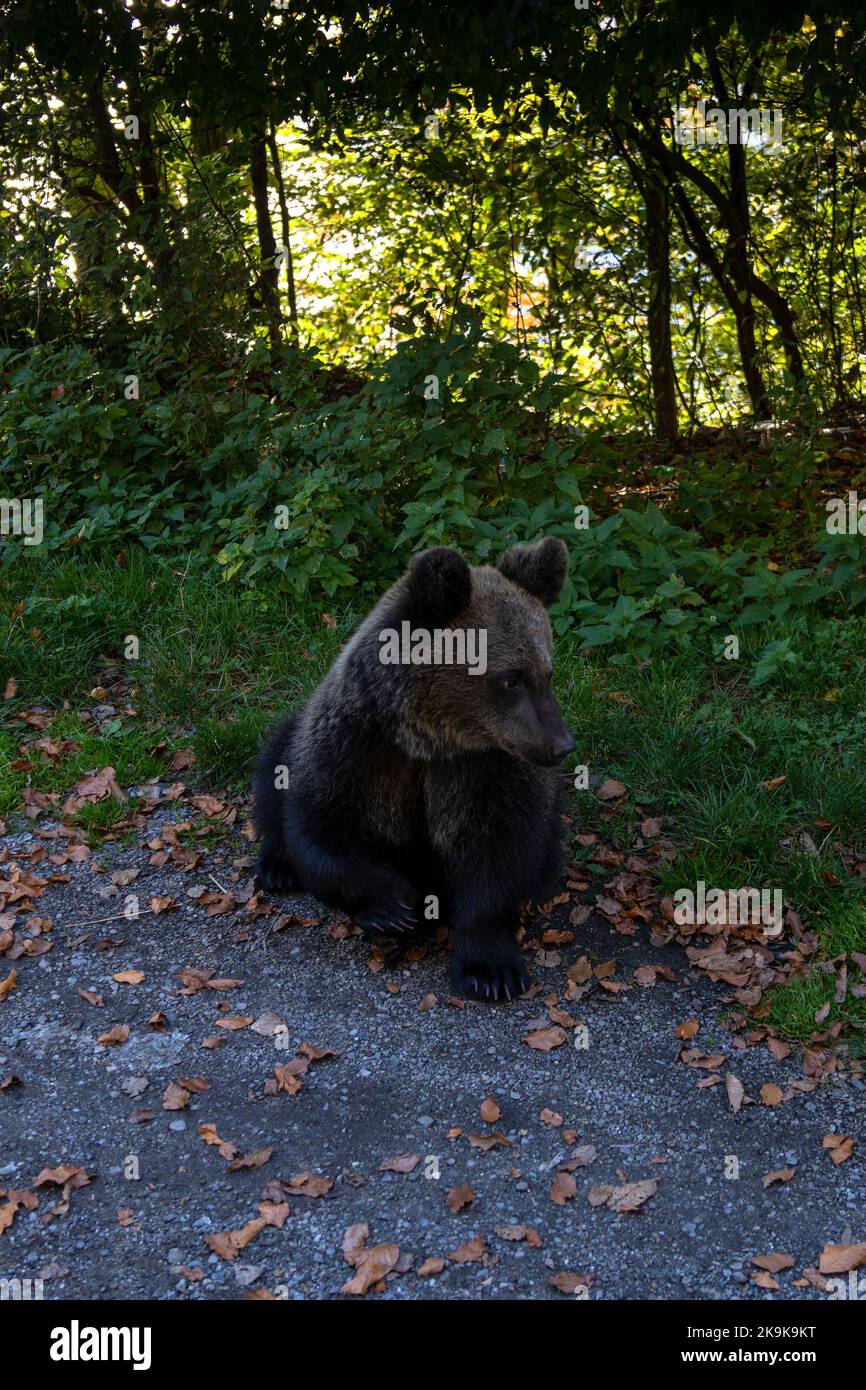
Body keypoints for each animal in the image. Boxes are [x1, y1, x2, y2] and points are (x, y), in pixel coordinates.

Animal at [252, 537, 575, 1001]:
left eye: (546, 674)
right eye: (510, 679)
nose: (561, 745)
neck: (428, 740)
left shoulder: (488, 770)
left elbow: (501, 853)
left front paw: (491, 969)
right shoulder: (356, 744)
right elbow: (320, 828)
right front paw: (392, 908)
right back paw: (278, 868)